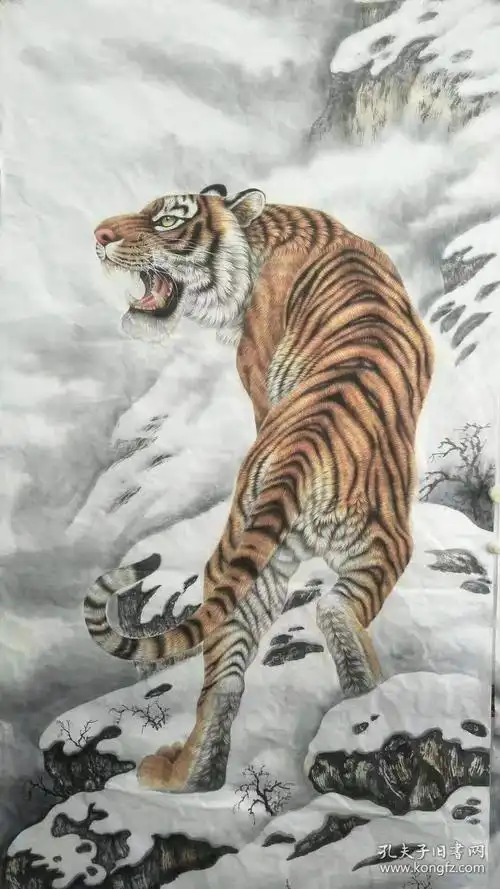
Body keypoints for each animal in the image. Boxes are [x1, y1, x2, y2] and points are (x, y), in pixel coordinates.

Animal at [85, 183, 434, 793]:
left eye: (168, 219)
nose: (99, 236)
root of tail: (299, 454)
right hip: (332, 551)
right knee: (274, 648)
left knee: (253, 661)